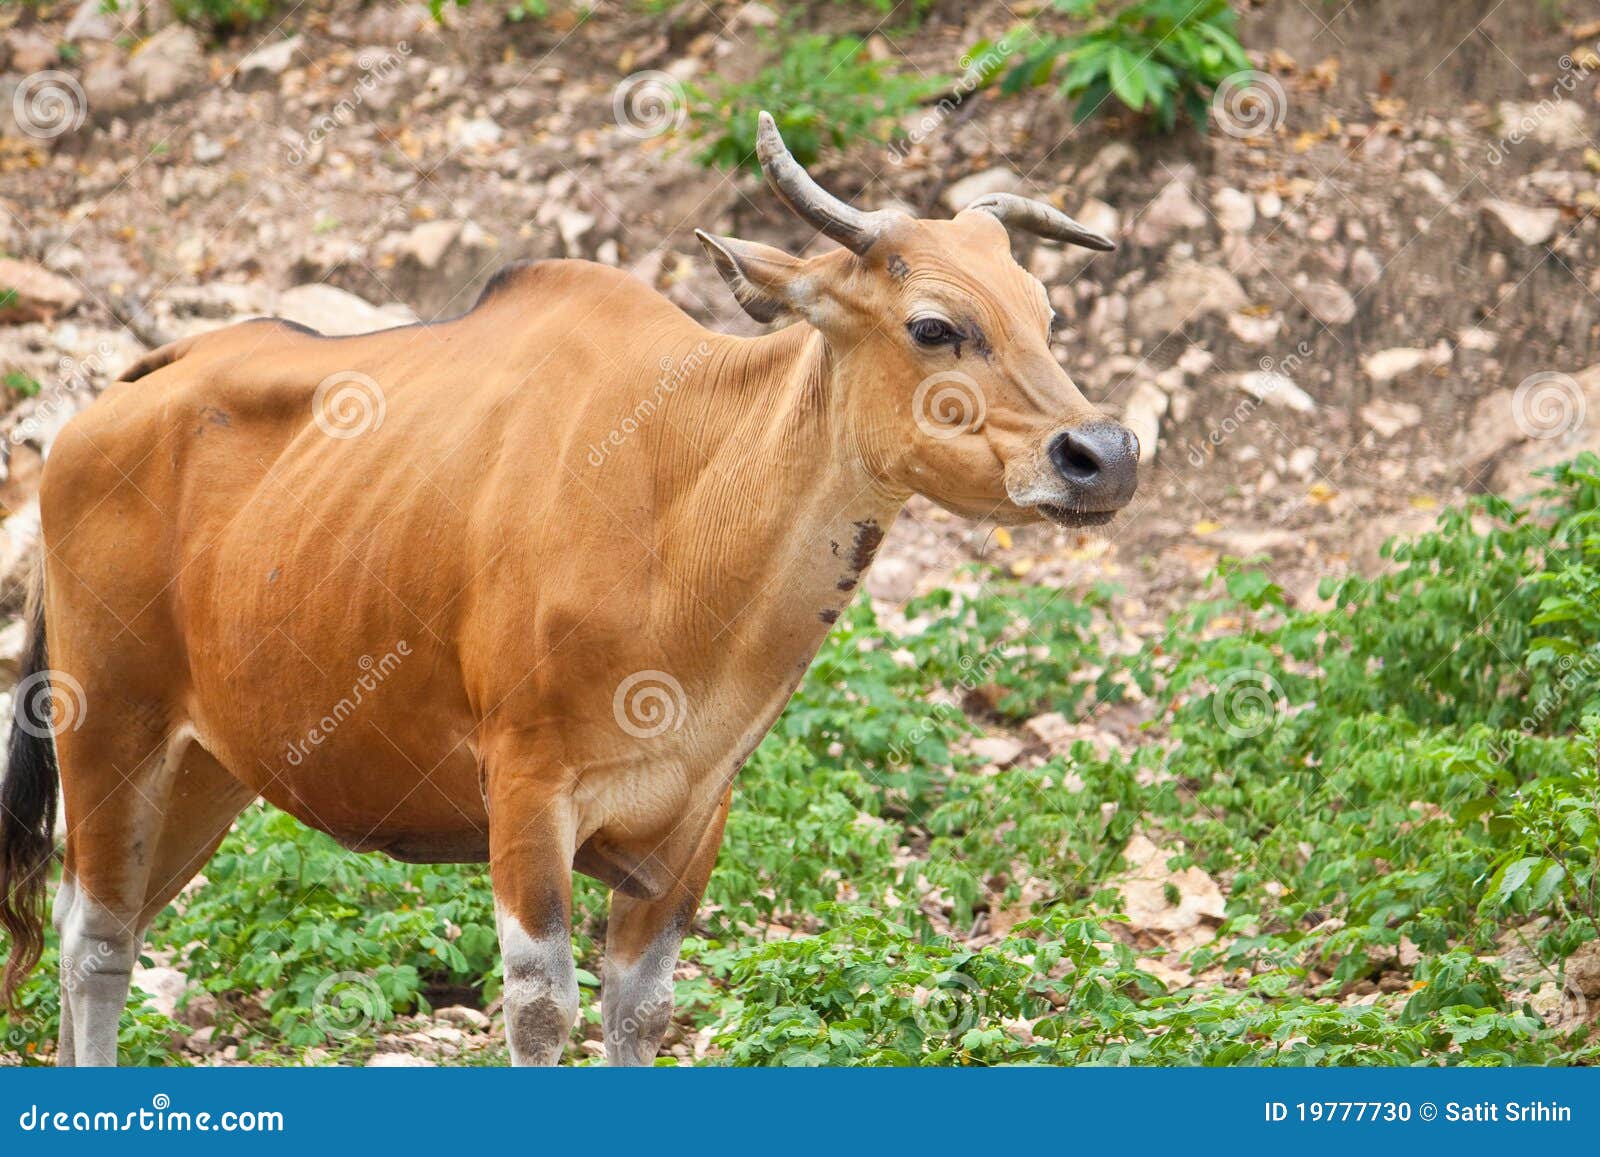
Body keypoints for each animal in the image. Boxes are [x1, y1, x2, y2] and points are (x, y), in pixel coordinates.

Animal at [0, 112, 1136, 1066]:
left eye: (1043, 313)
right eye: (934, 325)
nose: (1104, 453)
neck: (679, 509)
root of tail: (109, 404)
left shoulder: (691, 823)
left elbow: (640, 1011)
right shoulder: (526, 794)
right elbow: (541, 1011)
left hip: (208, 768)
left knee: (114, 929)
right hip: (106, 728)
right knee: (96, 943)